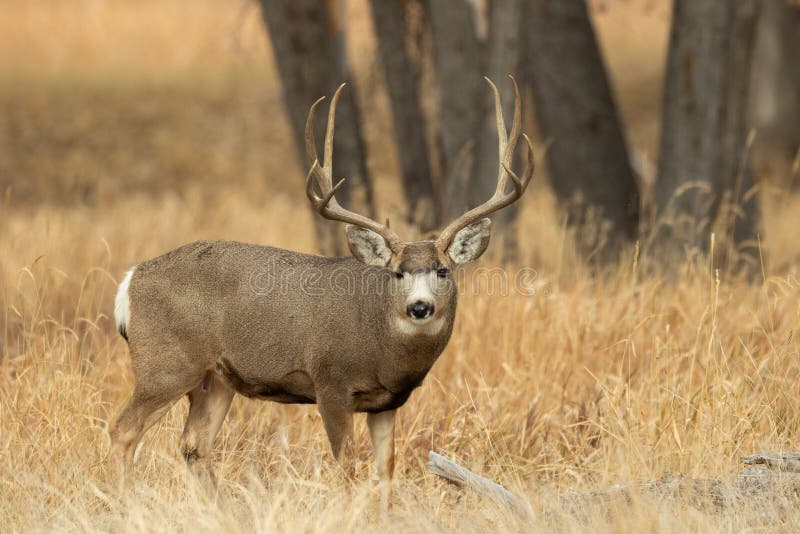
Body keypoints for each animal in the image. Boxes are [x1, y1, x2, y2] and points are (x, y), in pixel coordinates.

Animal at [109, 76, 534, 507]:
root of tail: (130, 280)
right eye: (397, 273)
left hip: (216, 379)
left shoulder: (388, 403)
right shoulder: (330, 382)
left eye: (442, 270)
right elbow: (346, 468)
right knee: (124, 429)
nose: (419, 307)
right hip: (165, 363)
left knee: (193, 444)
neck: (383, 349)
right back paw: (126, 502)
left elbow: (386, 471)